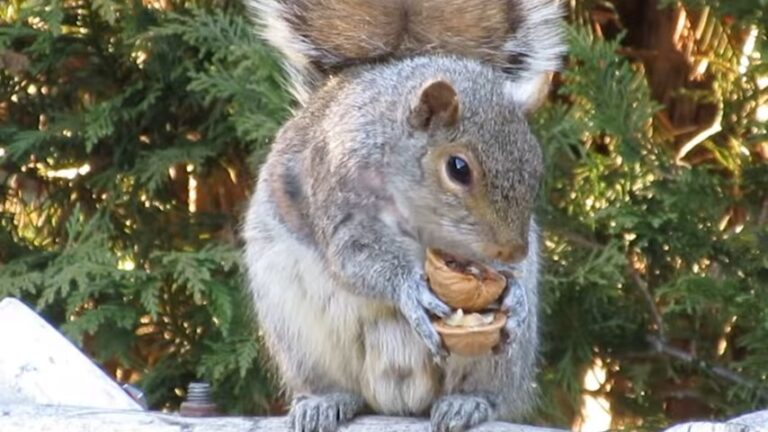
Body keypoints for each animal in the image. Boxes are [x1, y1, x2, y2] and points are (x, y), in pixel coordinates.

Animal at [241, 1, 566, 432]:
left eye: (536, 166)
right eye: (458, 168)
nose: (513, 253)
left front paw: (512, 292)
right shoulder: (338, 193)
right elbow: (357, 258)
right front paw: (412, 289)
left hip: (502, 361)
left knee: (491, 391)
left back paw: (469, 403)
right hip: (298, 333)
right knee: (334, 383)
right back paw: (326, 401)